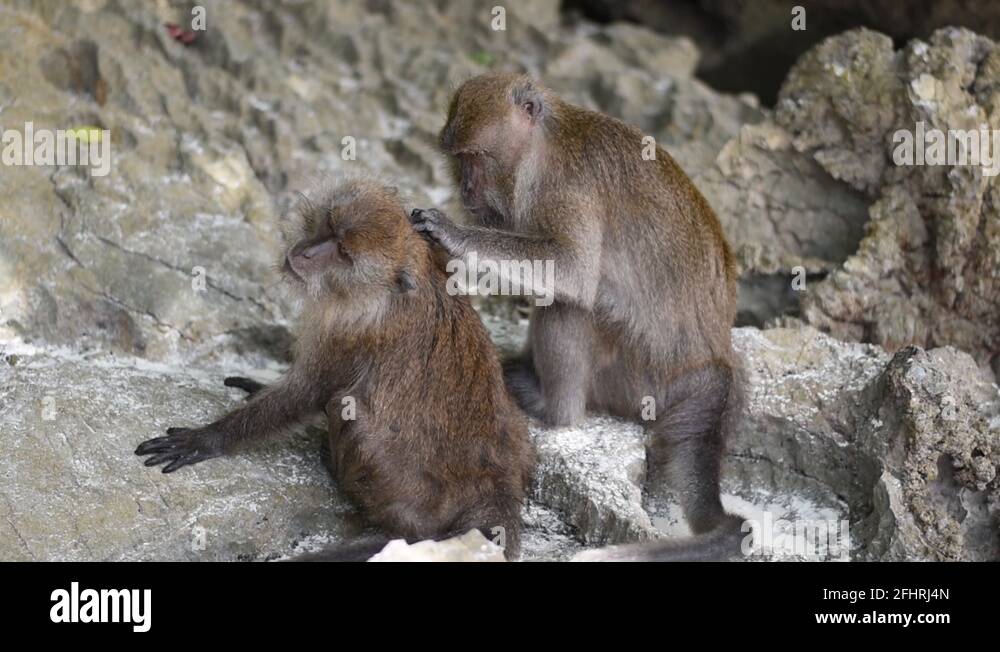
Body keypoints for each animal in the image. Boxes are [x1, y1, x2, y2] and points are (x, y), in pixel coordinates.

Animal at [135, 178, 534, 560]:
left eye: (343, 253)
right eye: (328, 224)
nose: (306, 252)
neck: (381, 291)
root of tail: (497, 485)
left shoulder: (347, 333)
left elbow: (306, 392)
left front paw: (208, 438)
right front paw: (256, 386)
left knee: (348, 409)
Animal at [410, 73, 747, 561]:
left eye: (475, 158)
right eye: (458, 161)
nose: (467, 191)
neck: (542, 144)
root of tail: (712, 361)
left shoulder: (565, 187)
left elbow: (571, 271)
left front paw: (452, 234)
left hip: (635, 373)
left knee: (571, 306)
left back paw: (552, 406)